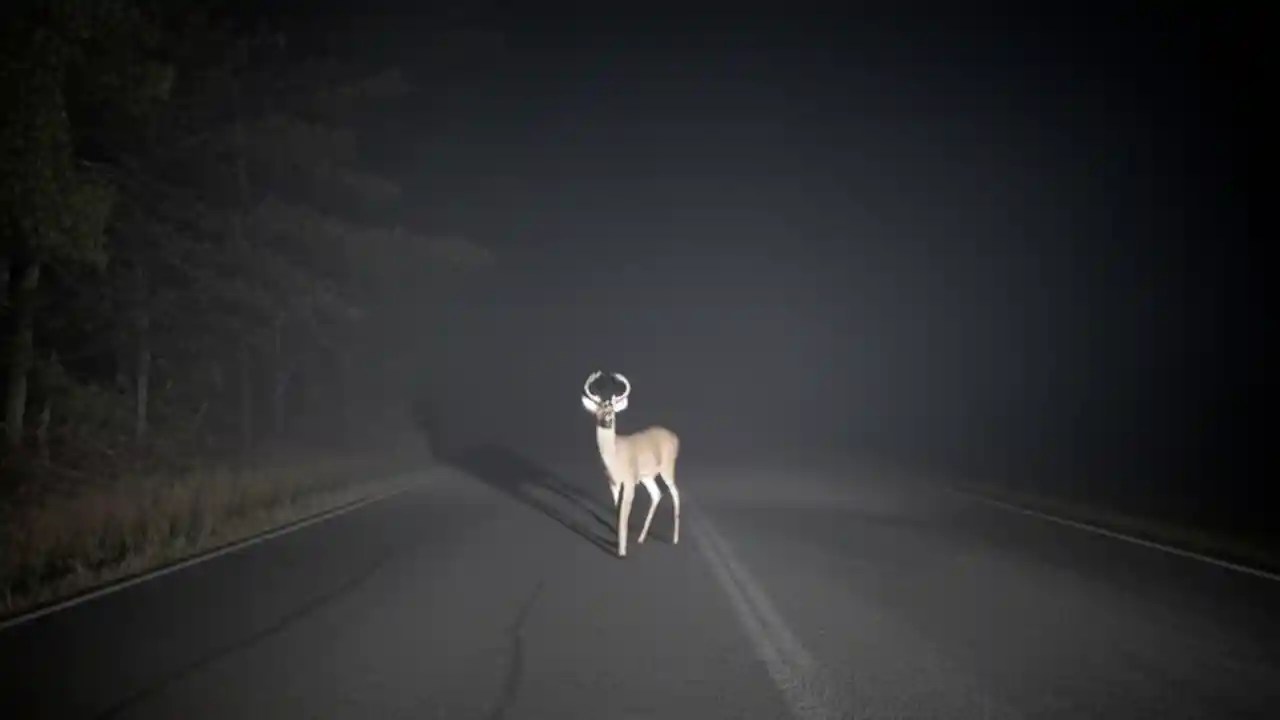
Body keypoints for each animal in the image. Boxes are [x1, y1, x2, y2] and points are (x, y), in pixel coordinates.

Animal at [581, 371, 681, 558]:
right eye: (599, 410)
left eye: (613, 411)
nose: (608, 420)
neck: (615, 458)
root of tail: (675, 438)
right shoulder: (613, 483)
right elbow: (617, 509)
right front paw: (617, 541)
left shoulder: (629, 480)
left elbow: (624, 513)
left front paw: (621, 550)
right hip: (647, 476)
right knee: (657, 494)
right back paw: (641, 538)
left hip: (667, 468)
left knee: (675, 494)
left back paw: (675, 539)